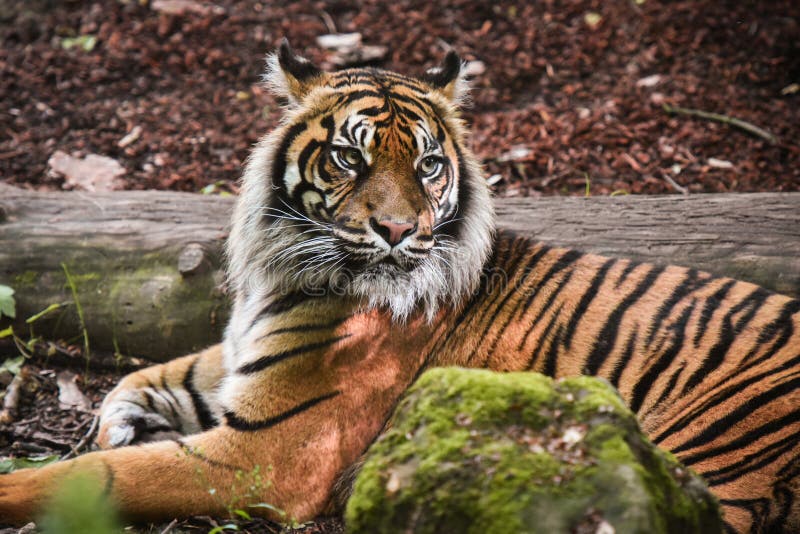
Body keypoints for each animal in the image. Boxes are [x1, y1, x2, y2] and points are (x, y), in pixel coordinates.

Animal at [0, 40, 798, 533]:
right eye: (349, 159)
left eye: (428, 165)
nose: (395, 228)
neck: (285, 273)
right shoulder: (239, 358)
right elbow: (145, 375)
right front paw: (120, 419)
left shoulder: (269, 454)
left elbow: (105, 474)